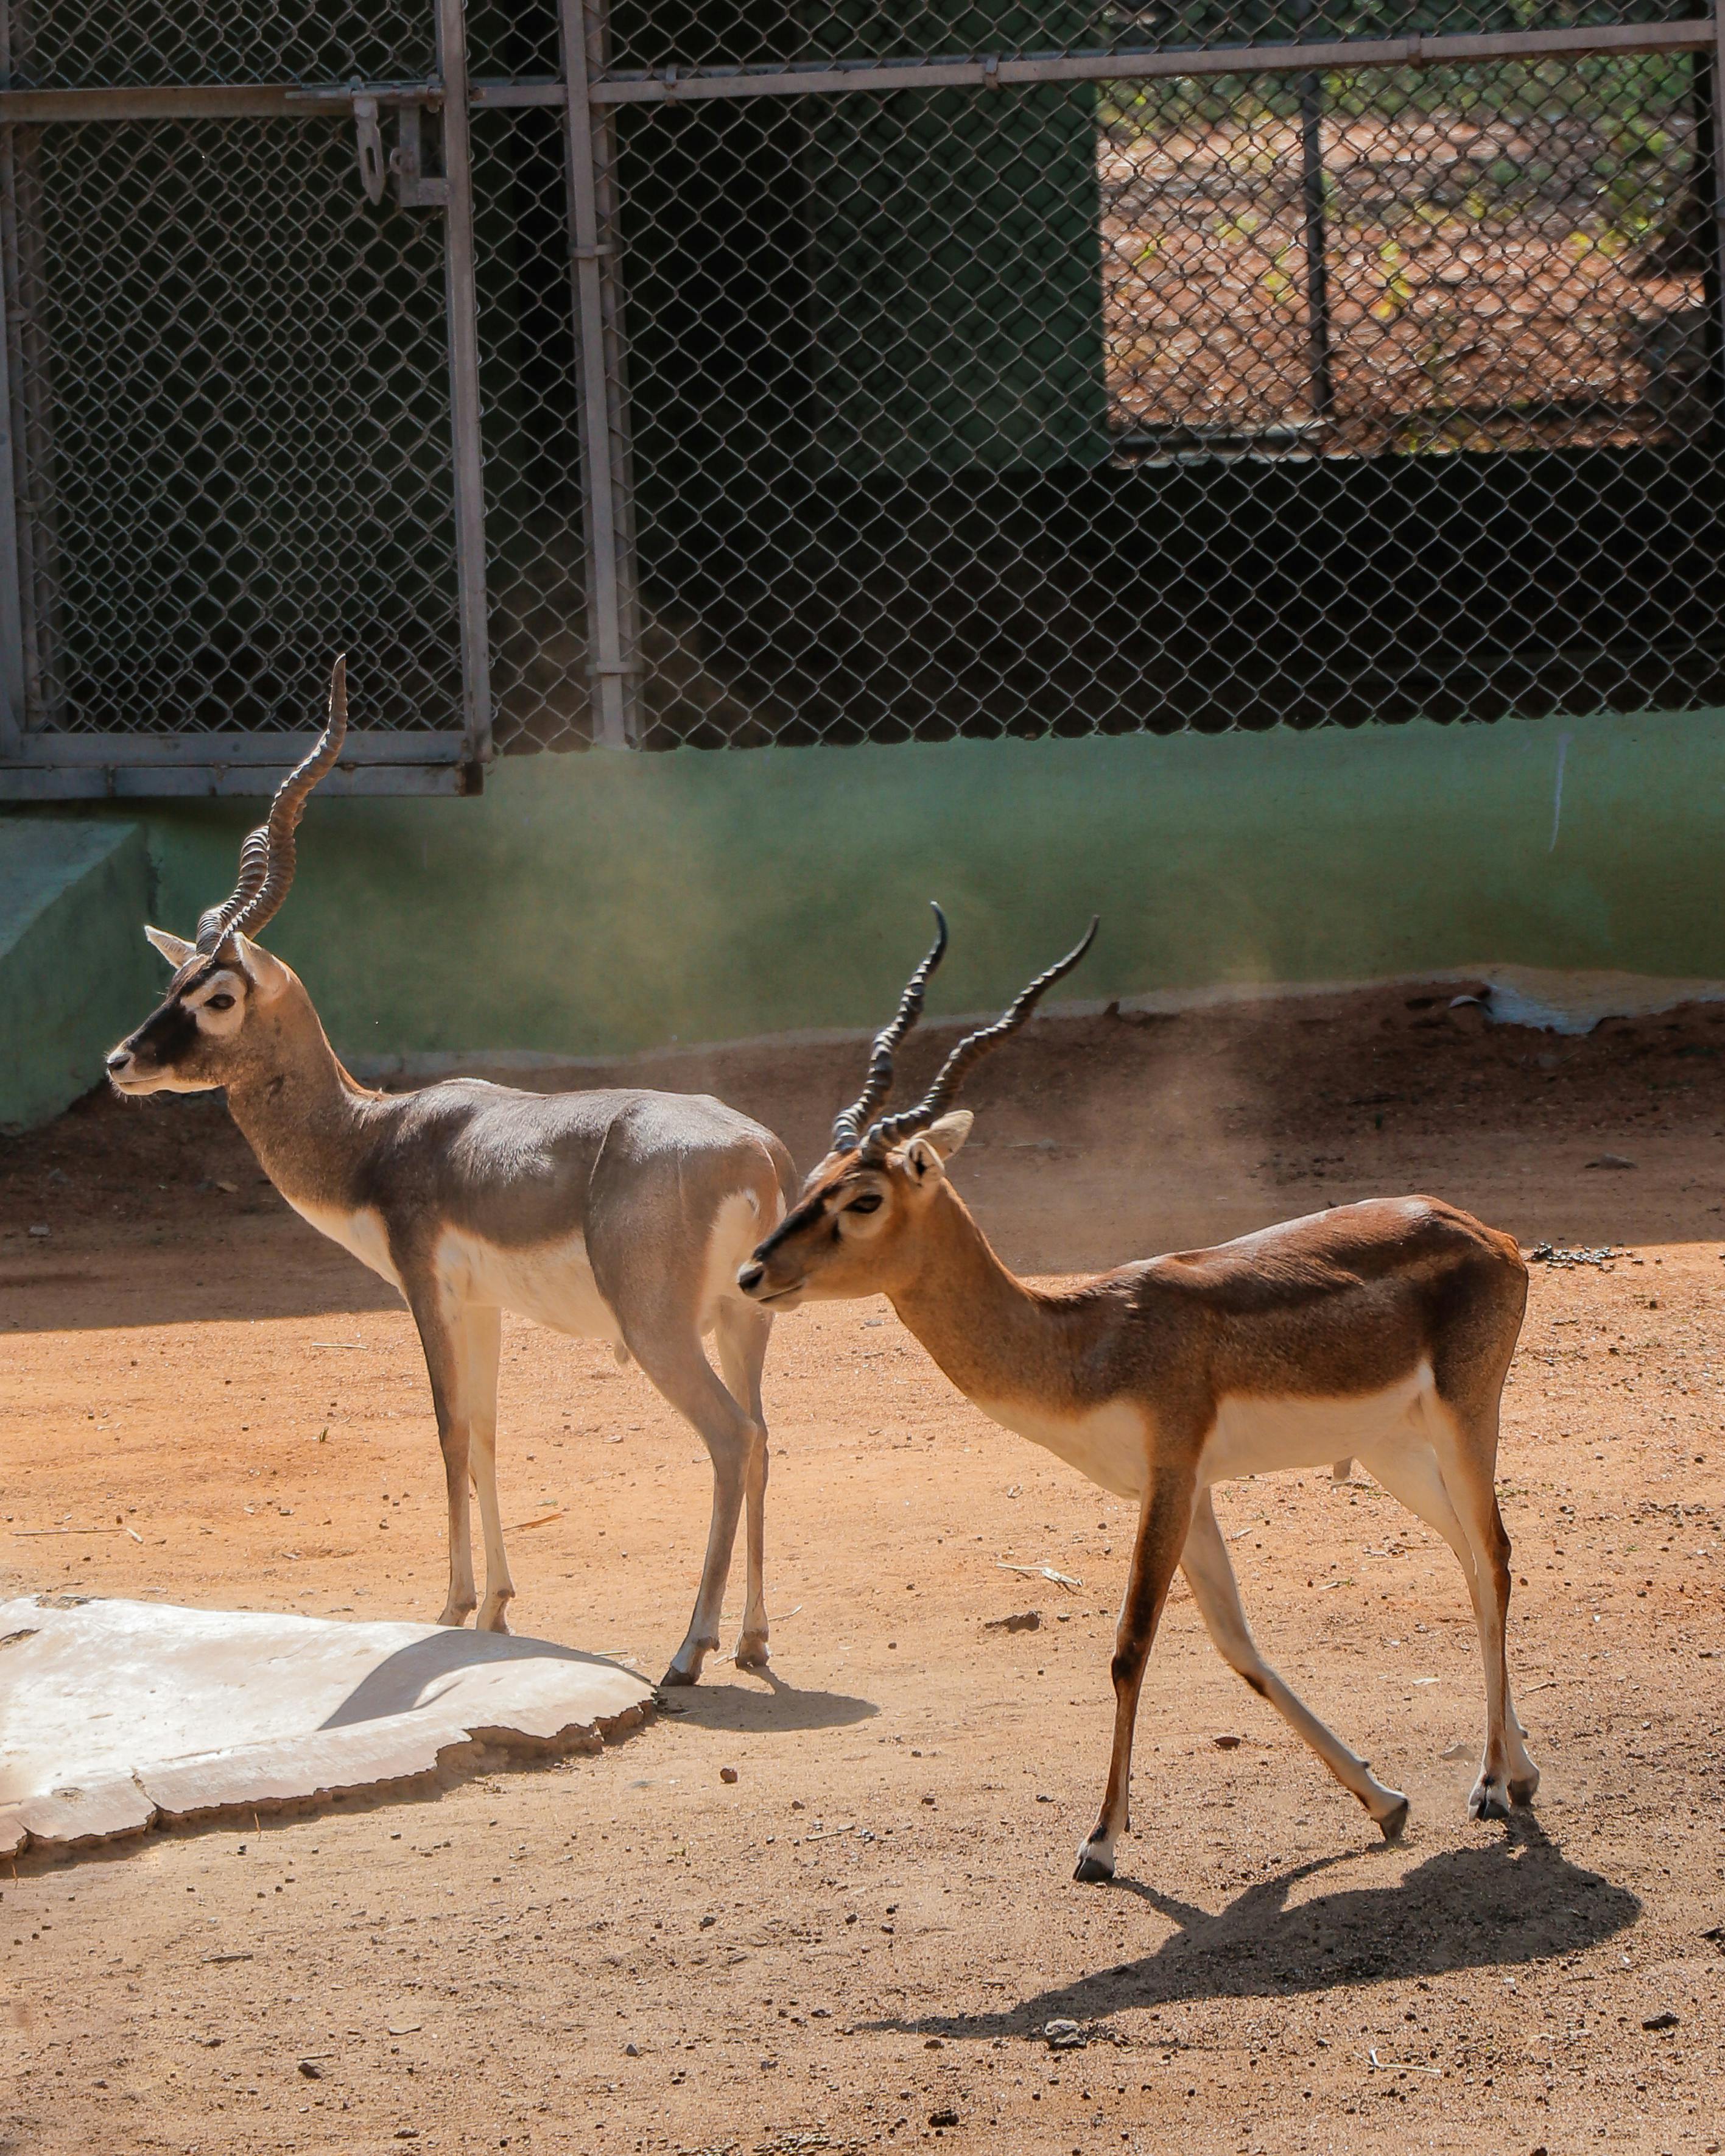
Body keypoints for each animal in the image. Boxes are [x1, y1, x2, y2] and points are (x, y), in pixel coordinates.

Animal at [105, 660, 796, 1684]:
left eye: (218, 996)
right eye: (172, 985)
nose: (120, 1063)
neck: (378, 1134)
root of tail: (754, 1152)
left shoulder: (425, 1289)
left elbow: (449, 1431)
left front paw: (454, 1605)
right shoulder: (483, 1306)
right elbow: (490, 1434)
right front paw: (501, 1606)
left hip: (661, 1329)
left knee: (730, 1437)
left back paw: (688, 1650)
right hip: (743, 1322)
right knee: (762, 1438)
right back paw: (750, 1638)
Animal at [738, 910, 1537, 1881]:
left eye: (861, 1198)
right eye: (812, 1177)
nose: (752, 1273)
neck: (1085, 1338)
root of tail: (1490, 1235)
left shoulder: (1169, 1472)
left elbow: (1129, 1646)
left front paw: (1101, 1841)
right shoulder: (1187, 1490)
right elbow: (1238, 1645)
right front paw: (1382, 1800)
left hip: (1467, 1418)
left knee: (1494, 1556)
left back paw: (1491, 1784)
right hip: (1395, 1449)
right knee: (1468, 1559)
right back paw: (1517, 1770)